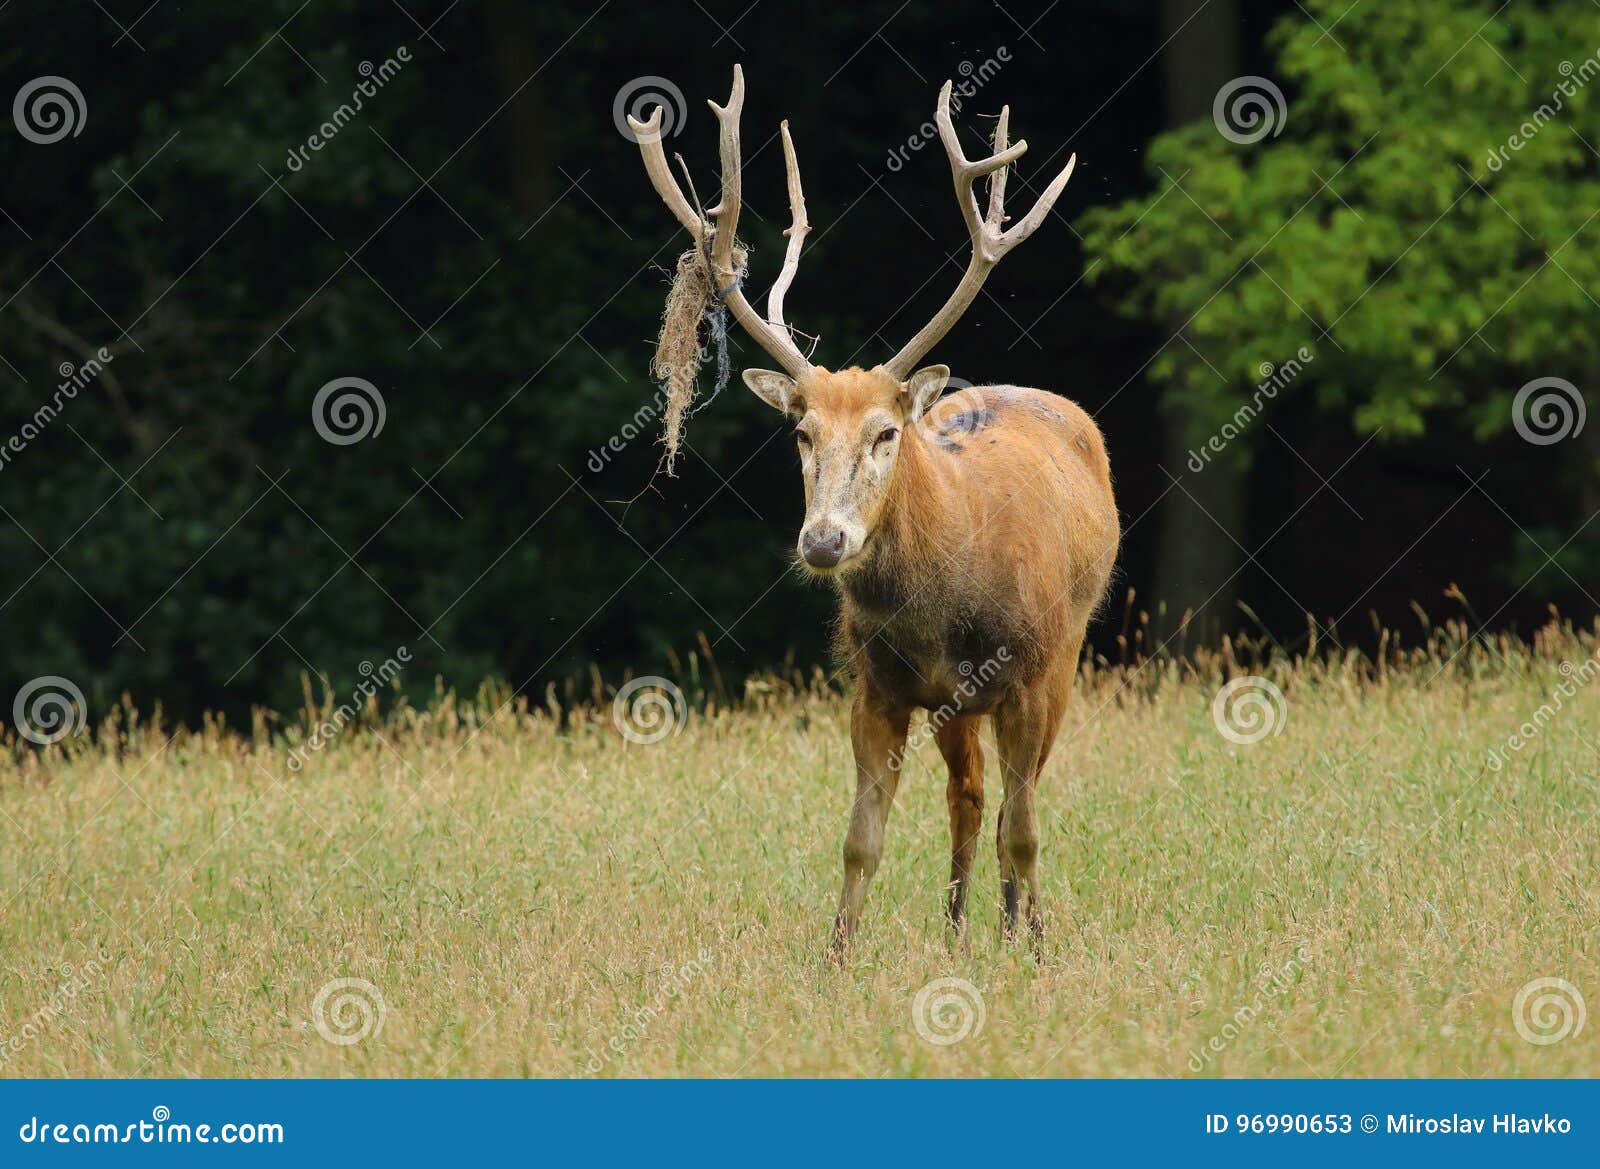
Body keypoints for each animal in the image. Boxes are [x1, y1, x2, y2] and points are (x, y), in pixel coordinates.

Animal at [627, 66, 1120, 958]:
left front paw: (1038, 948)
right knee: (968, 795)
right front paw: (837, 955)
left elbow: (1028, 826)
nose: (825, 539)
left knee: (1014, 799)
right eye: (801, 431)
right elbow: (861, 837)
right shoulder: (876, 688)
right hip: (957, 703)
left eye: (886, 431)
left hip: (1066, 650)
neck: (941, 608)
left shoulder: (1030, 671)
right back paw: (959, 929)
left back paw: (1009, 923)